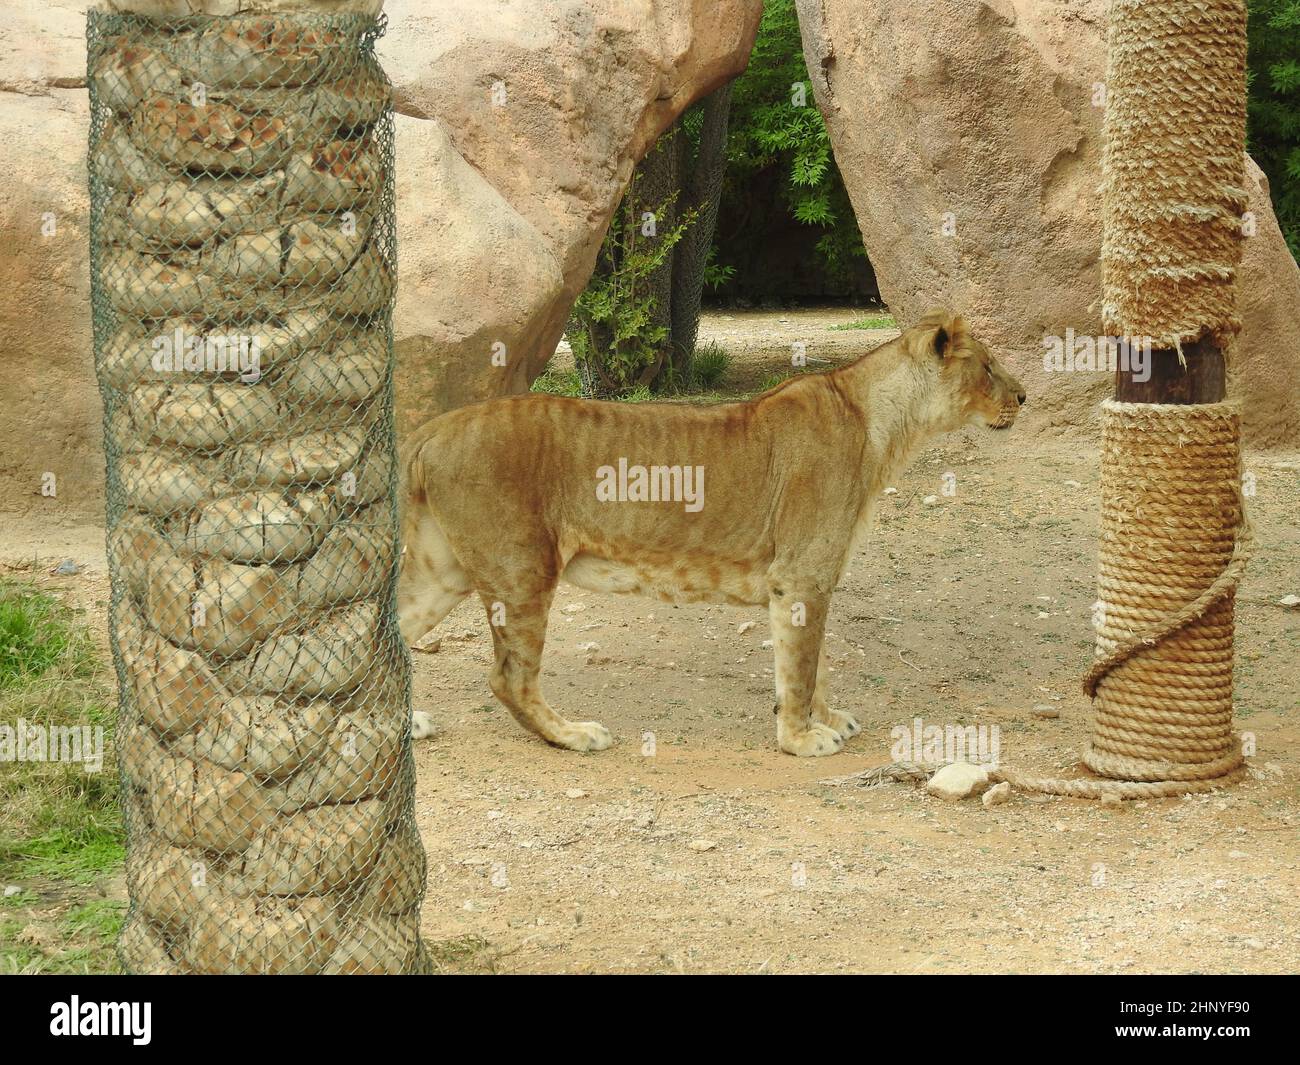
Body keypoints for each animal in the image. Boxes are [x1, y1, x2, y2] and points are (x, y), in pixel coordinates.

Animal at [398, 310, 1025, 756]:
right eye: (989, 367)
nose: (1024, 396)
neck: (883, 425)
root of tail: (434, 427)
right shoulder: (801, 573)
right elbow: (800, 666)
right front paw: (801, 739)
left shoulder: (813, 578)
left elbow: (816, 662)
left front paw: (825, 719)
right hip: (522, 569)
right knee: (509, 678)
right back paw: (574, 734)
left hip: (443, 570)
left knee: (396, 628)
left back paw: (411, 726)